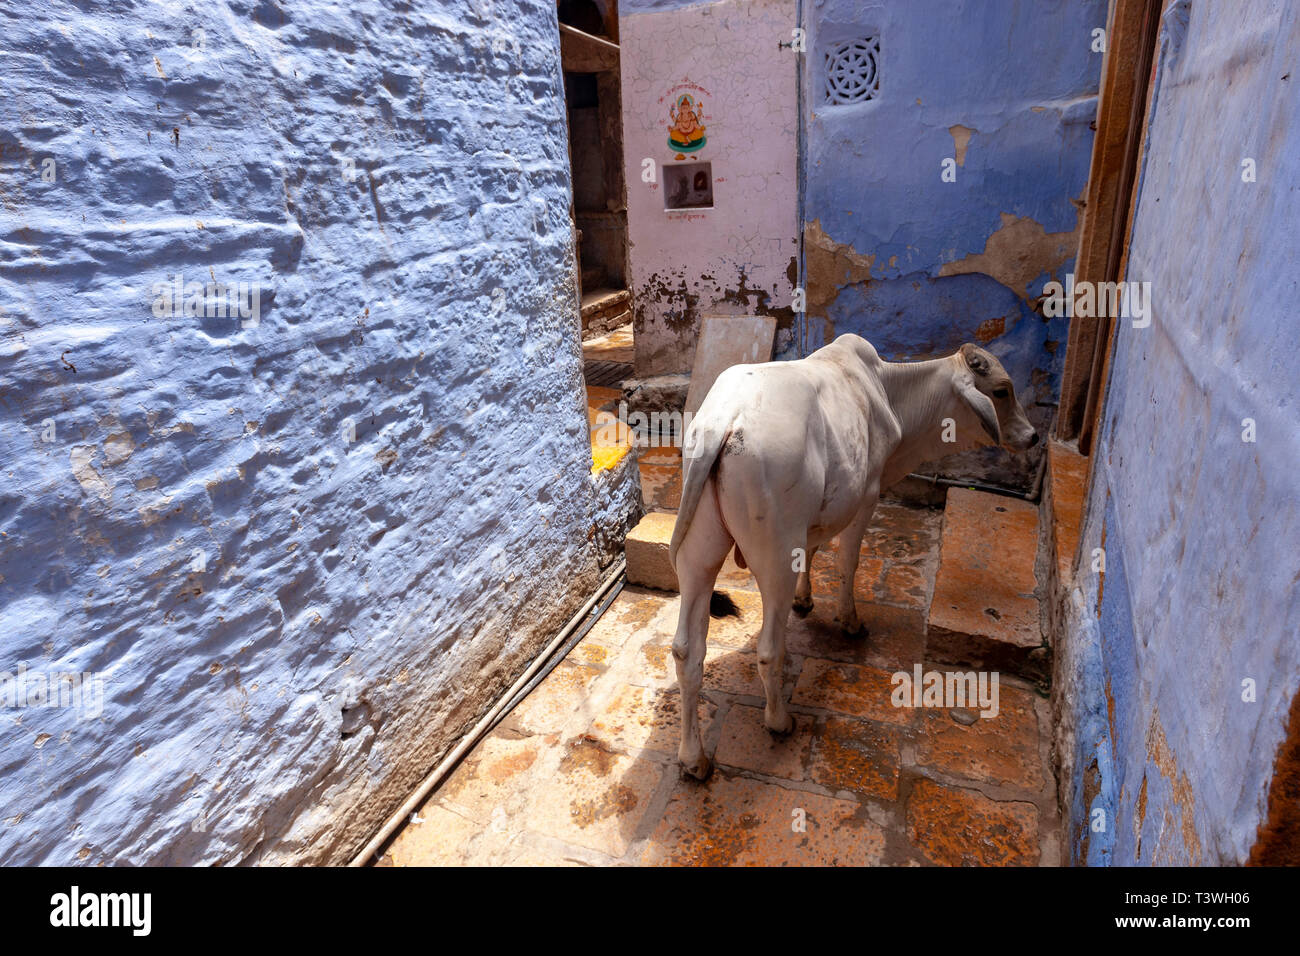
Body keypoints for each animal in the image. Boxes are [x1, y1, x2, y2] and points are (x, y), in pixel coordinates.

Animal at [667, 334, 1038, 779]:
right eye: (1001, 391)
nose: (1033, 436)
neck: (891, 392)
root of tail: (721, 423)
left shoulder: (820, 517)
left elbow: (815, 551)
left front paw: (805, 599)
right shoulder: (868, 494)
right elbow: (848, 562)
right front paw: (850, 620)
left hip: (699, 557)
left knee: (687, 651)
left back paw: (693, 758)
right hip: (775, 555)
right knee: (768, 649)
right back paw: (779, 720)